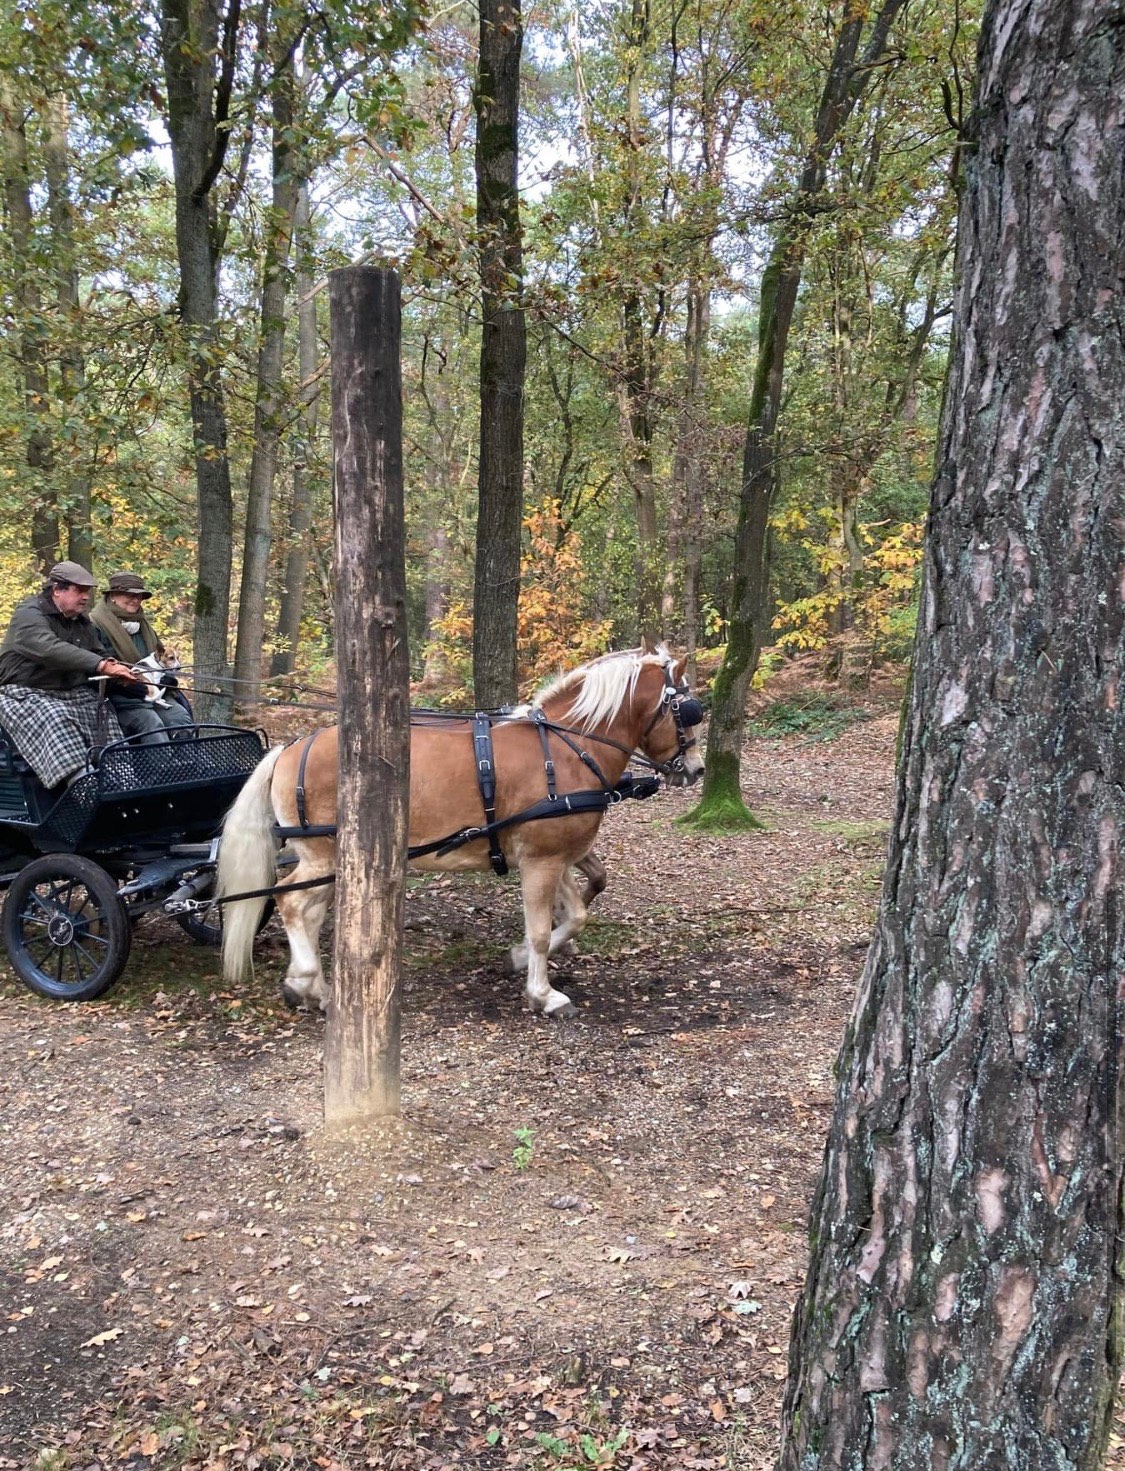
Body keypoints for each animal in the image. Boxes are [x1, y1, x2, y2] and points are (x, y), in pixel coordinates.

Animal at [215, 643, 704, 1018]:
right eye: (689, 711)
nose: (696, 769)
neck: (567, 749)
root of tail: (290, 748)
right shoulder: (542, 860)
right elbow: (542, 930)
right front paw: (543, 993)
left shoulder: (552, 855)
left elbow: (575, 916)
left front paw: (520, 956)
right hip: (324, 855)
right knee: (291, 902)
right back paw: (308, 981)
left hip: (333, 862)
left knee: (309, 911)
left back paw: (310, 985)